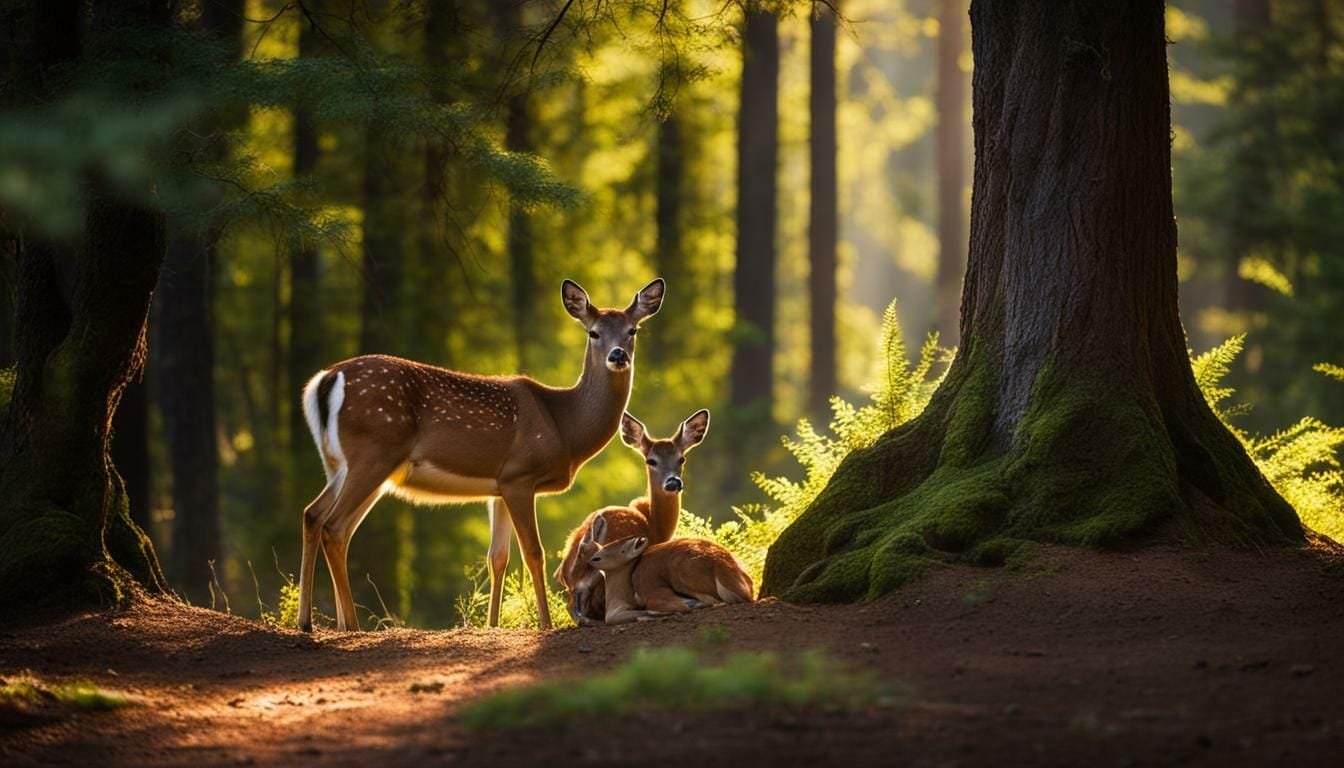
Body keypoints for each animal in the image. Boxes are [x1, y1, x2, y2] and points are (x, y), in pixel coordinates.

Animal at [295, 278, 665, 632]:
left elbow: (497, 557)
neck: (565, 425)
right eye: (593, 332)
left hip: (344, 465)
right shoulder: (521, 475)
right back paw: (350, 625)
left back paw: (310, 621)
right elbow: (533, 553)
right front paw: (546, 623)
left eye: (632, 330)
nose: (618, 355)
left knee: (315, 515)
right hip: (373, 453)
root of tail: (326, 380)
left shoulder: (499, 487)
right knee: (335, 526)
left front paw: (493, 623)